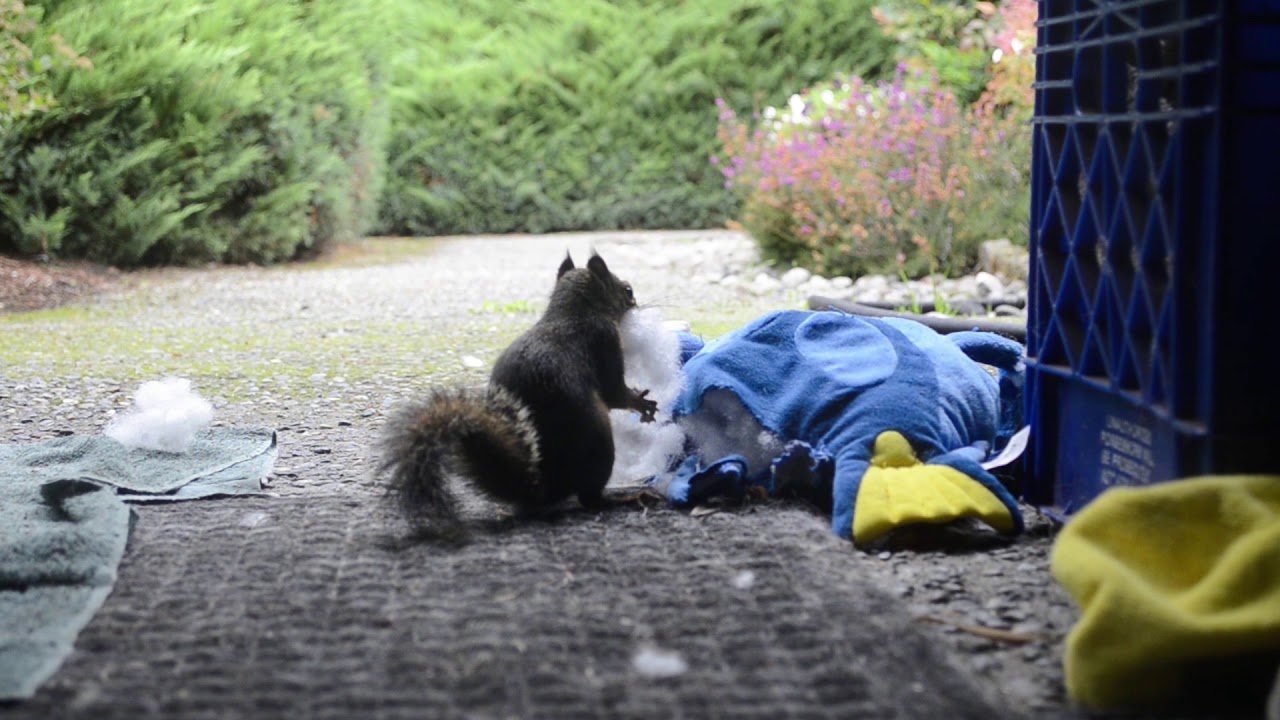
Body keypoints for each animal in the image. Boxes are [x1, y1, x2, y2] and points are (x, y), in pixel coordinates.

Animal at [378, 251, 659, 535]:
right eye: (627, 290)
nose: (635, 303)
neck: (572, 309)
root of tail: (546, 489)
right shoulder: (604, 340)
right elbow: (614, 393)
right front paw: (640, 402)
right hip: (599, 438)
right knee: (589, 498)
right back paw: (626, 497)